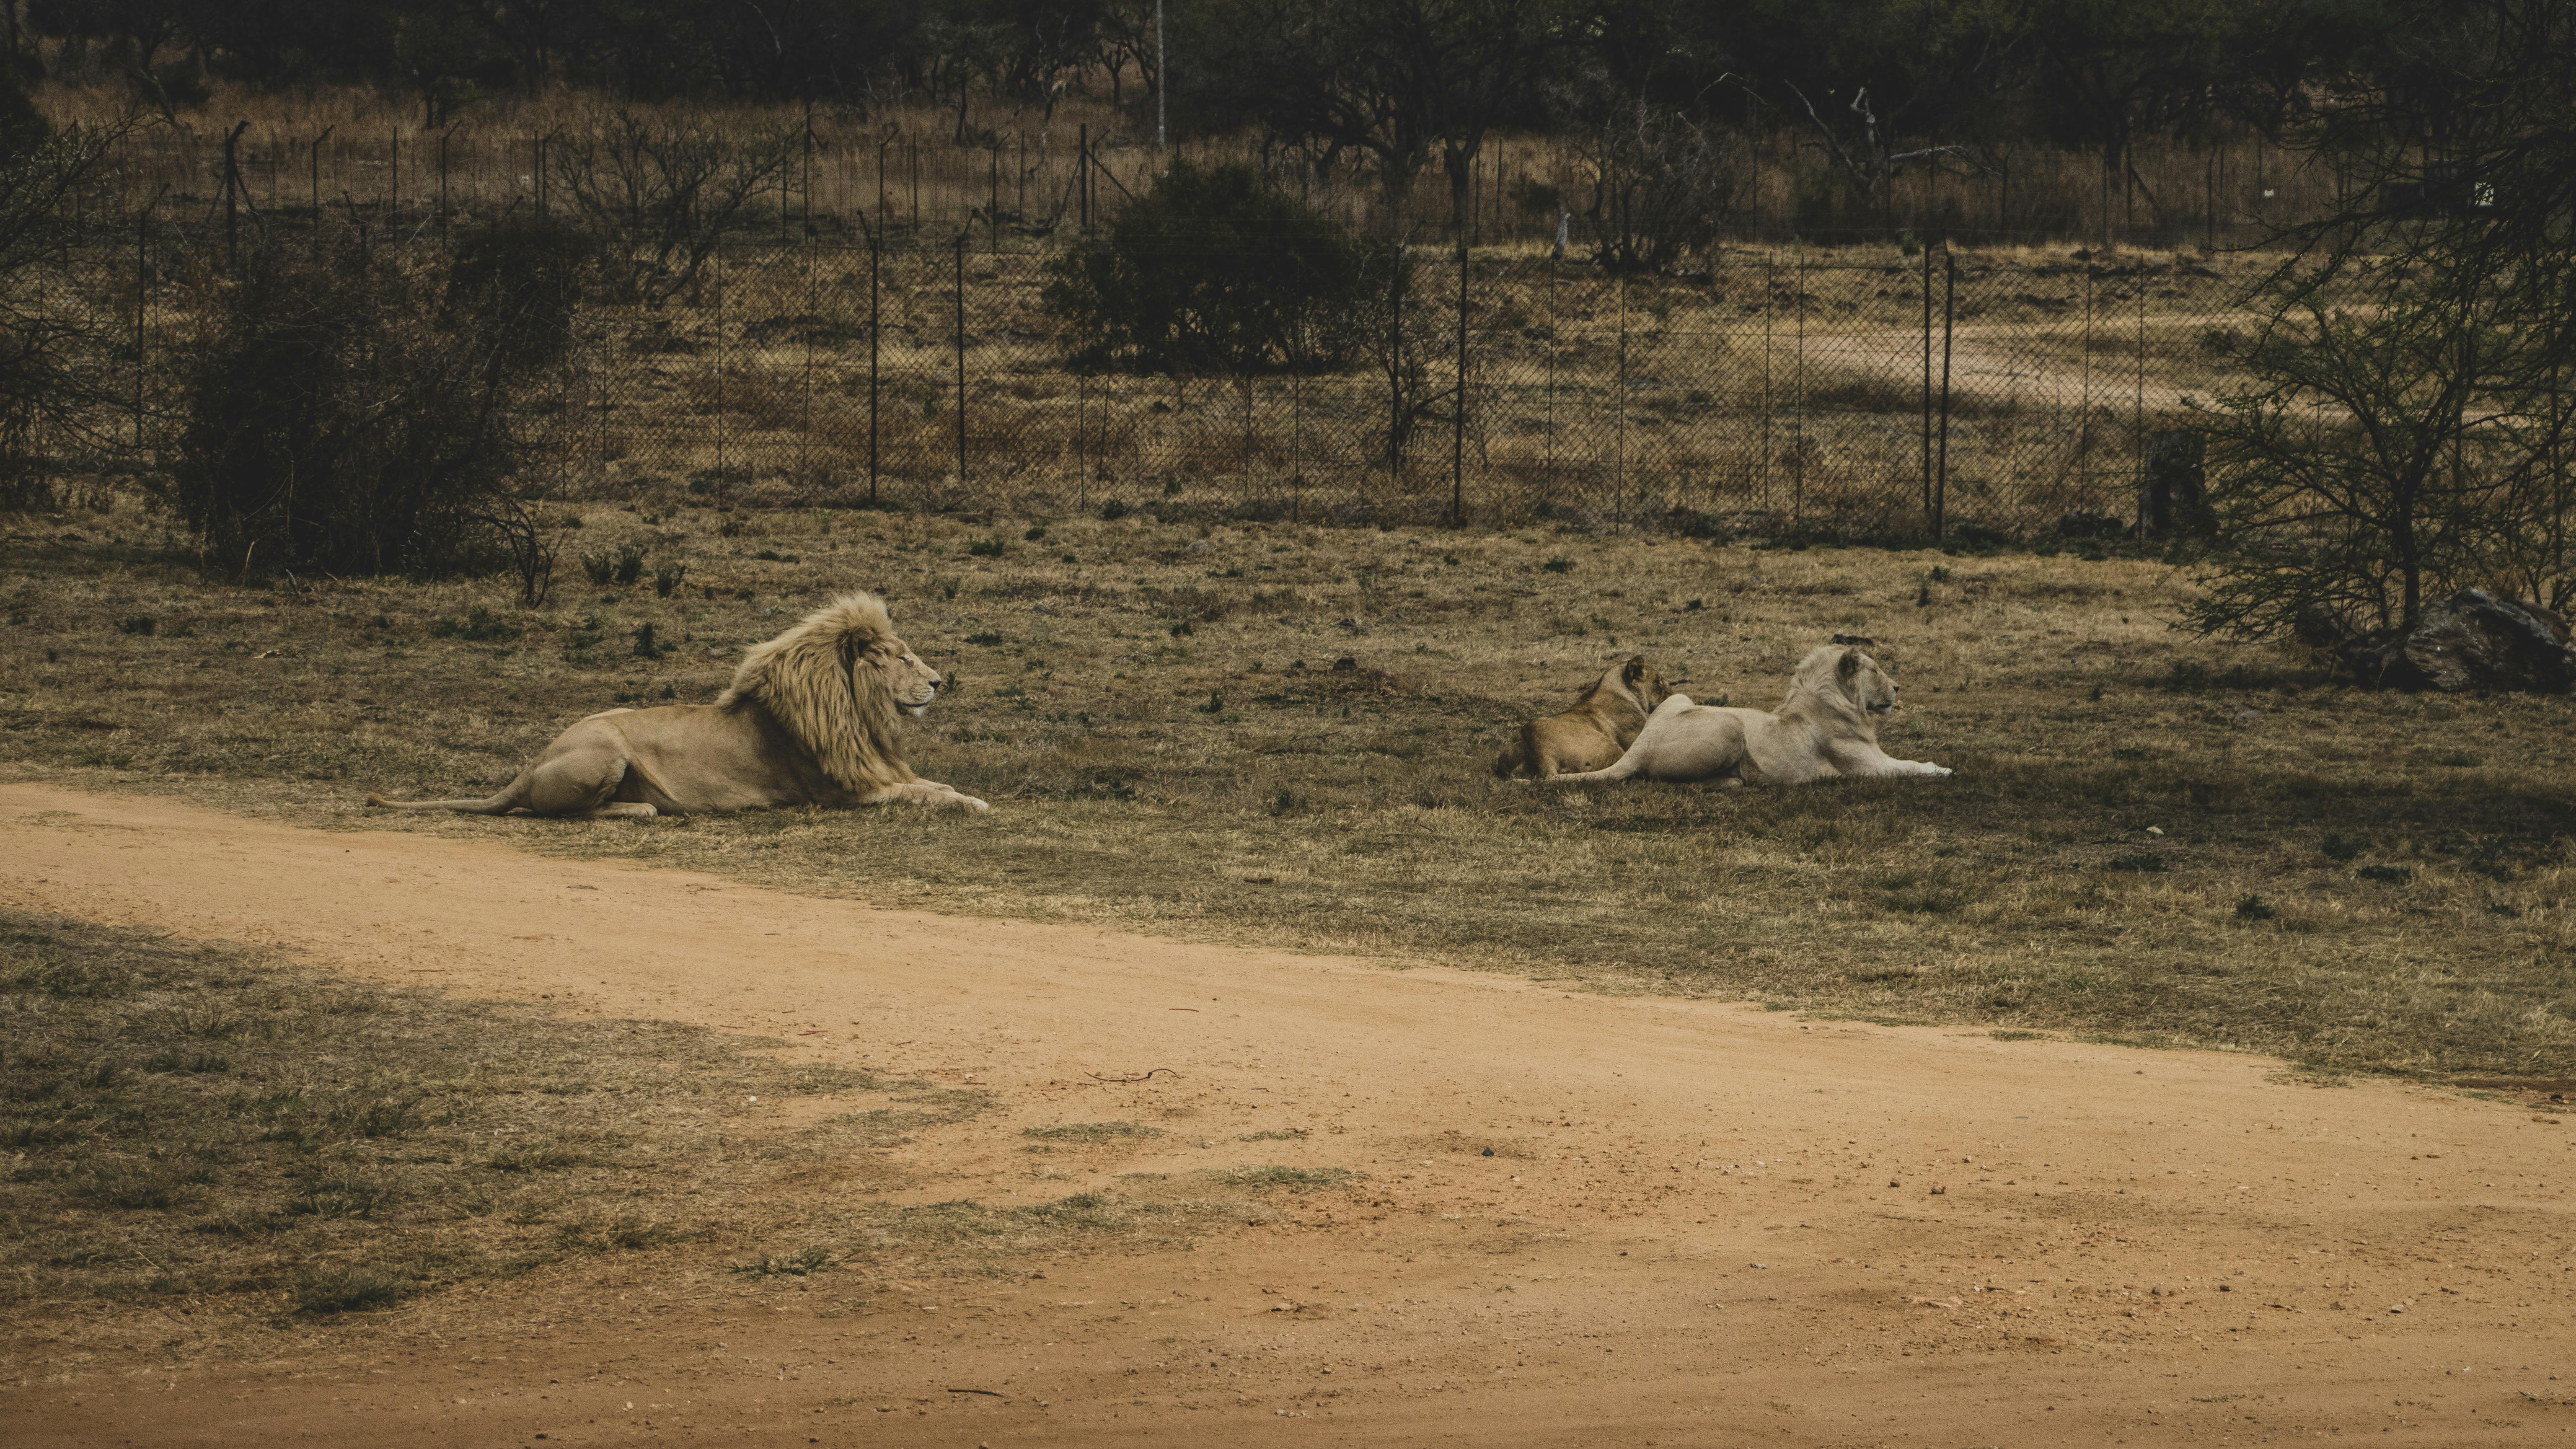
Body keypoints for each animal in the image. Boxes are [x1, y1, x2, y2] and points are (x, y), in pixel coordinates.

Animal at [365, 592, 988, 818]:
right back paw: (643, 808)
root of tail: (529, 765)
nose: (939, 682)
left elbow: (930, 784)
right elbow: (922, 793)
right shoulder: (840, 792)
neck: (860, 714)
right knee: (560, 811)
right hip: (606, 751)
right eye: (903, 658)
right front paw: (976, 803)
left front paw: (965, 792)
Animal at [1531, 644, 1950, 788]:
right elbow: (1911, 767)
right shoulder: (1868, 768)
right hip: (1731, 726)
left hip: (1680, 698)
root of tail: (1640, 747)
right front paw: (1942, 769)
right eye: (1876, 670)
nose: (1897, 688)